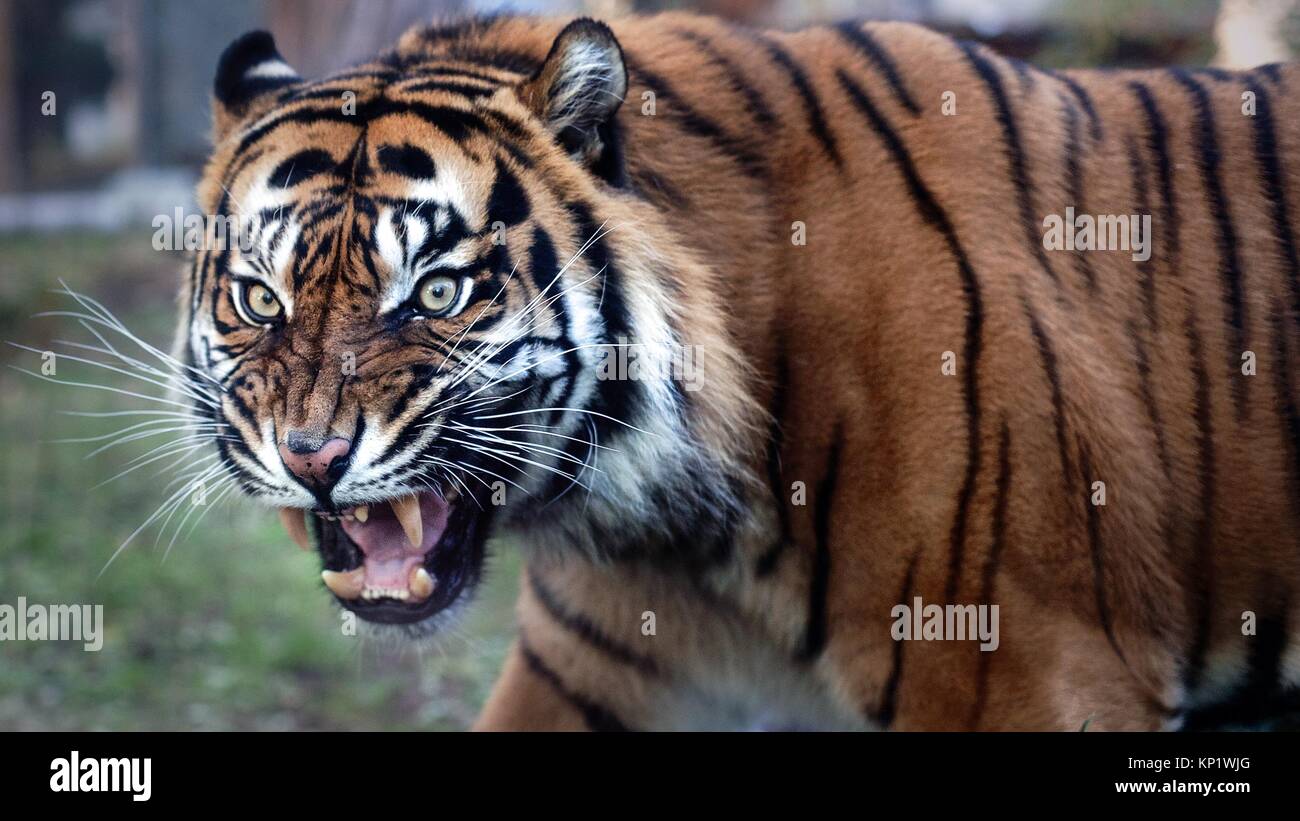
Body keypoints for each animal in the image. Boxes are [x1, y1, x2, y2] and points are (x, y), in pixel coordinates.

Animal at [182, 11, 1300, 731]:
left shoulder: (1023, 670)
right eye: (260, 299)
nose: (312, 457)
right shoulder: (595, 668)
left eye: (439, 291)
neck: (678, 531)